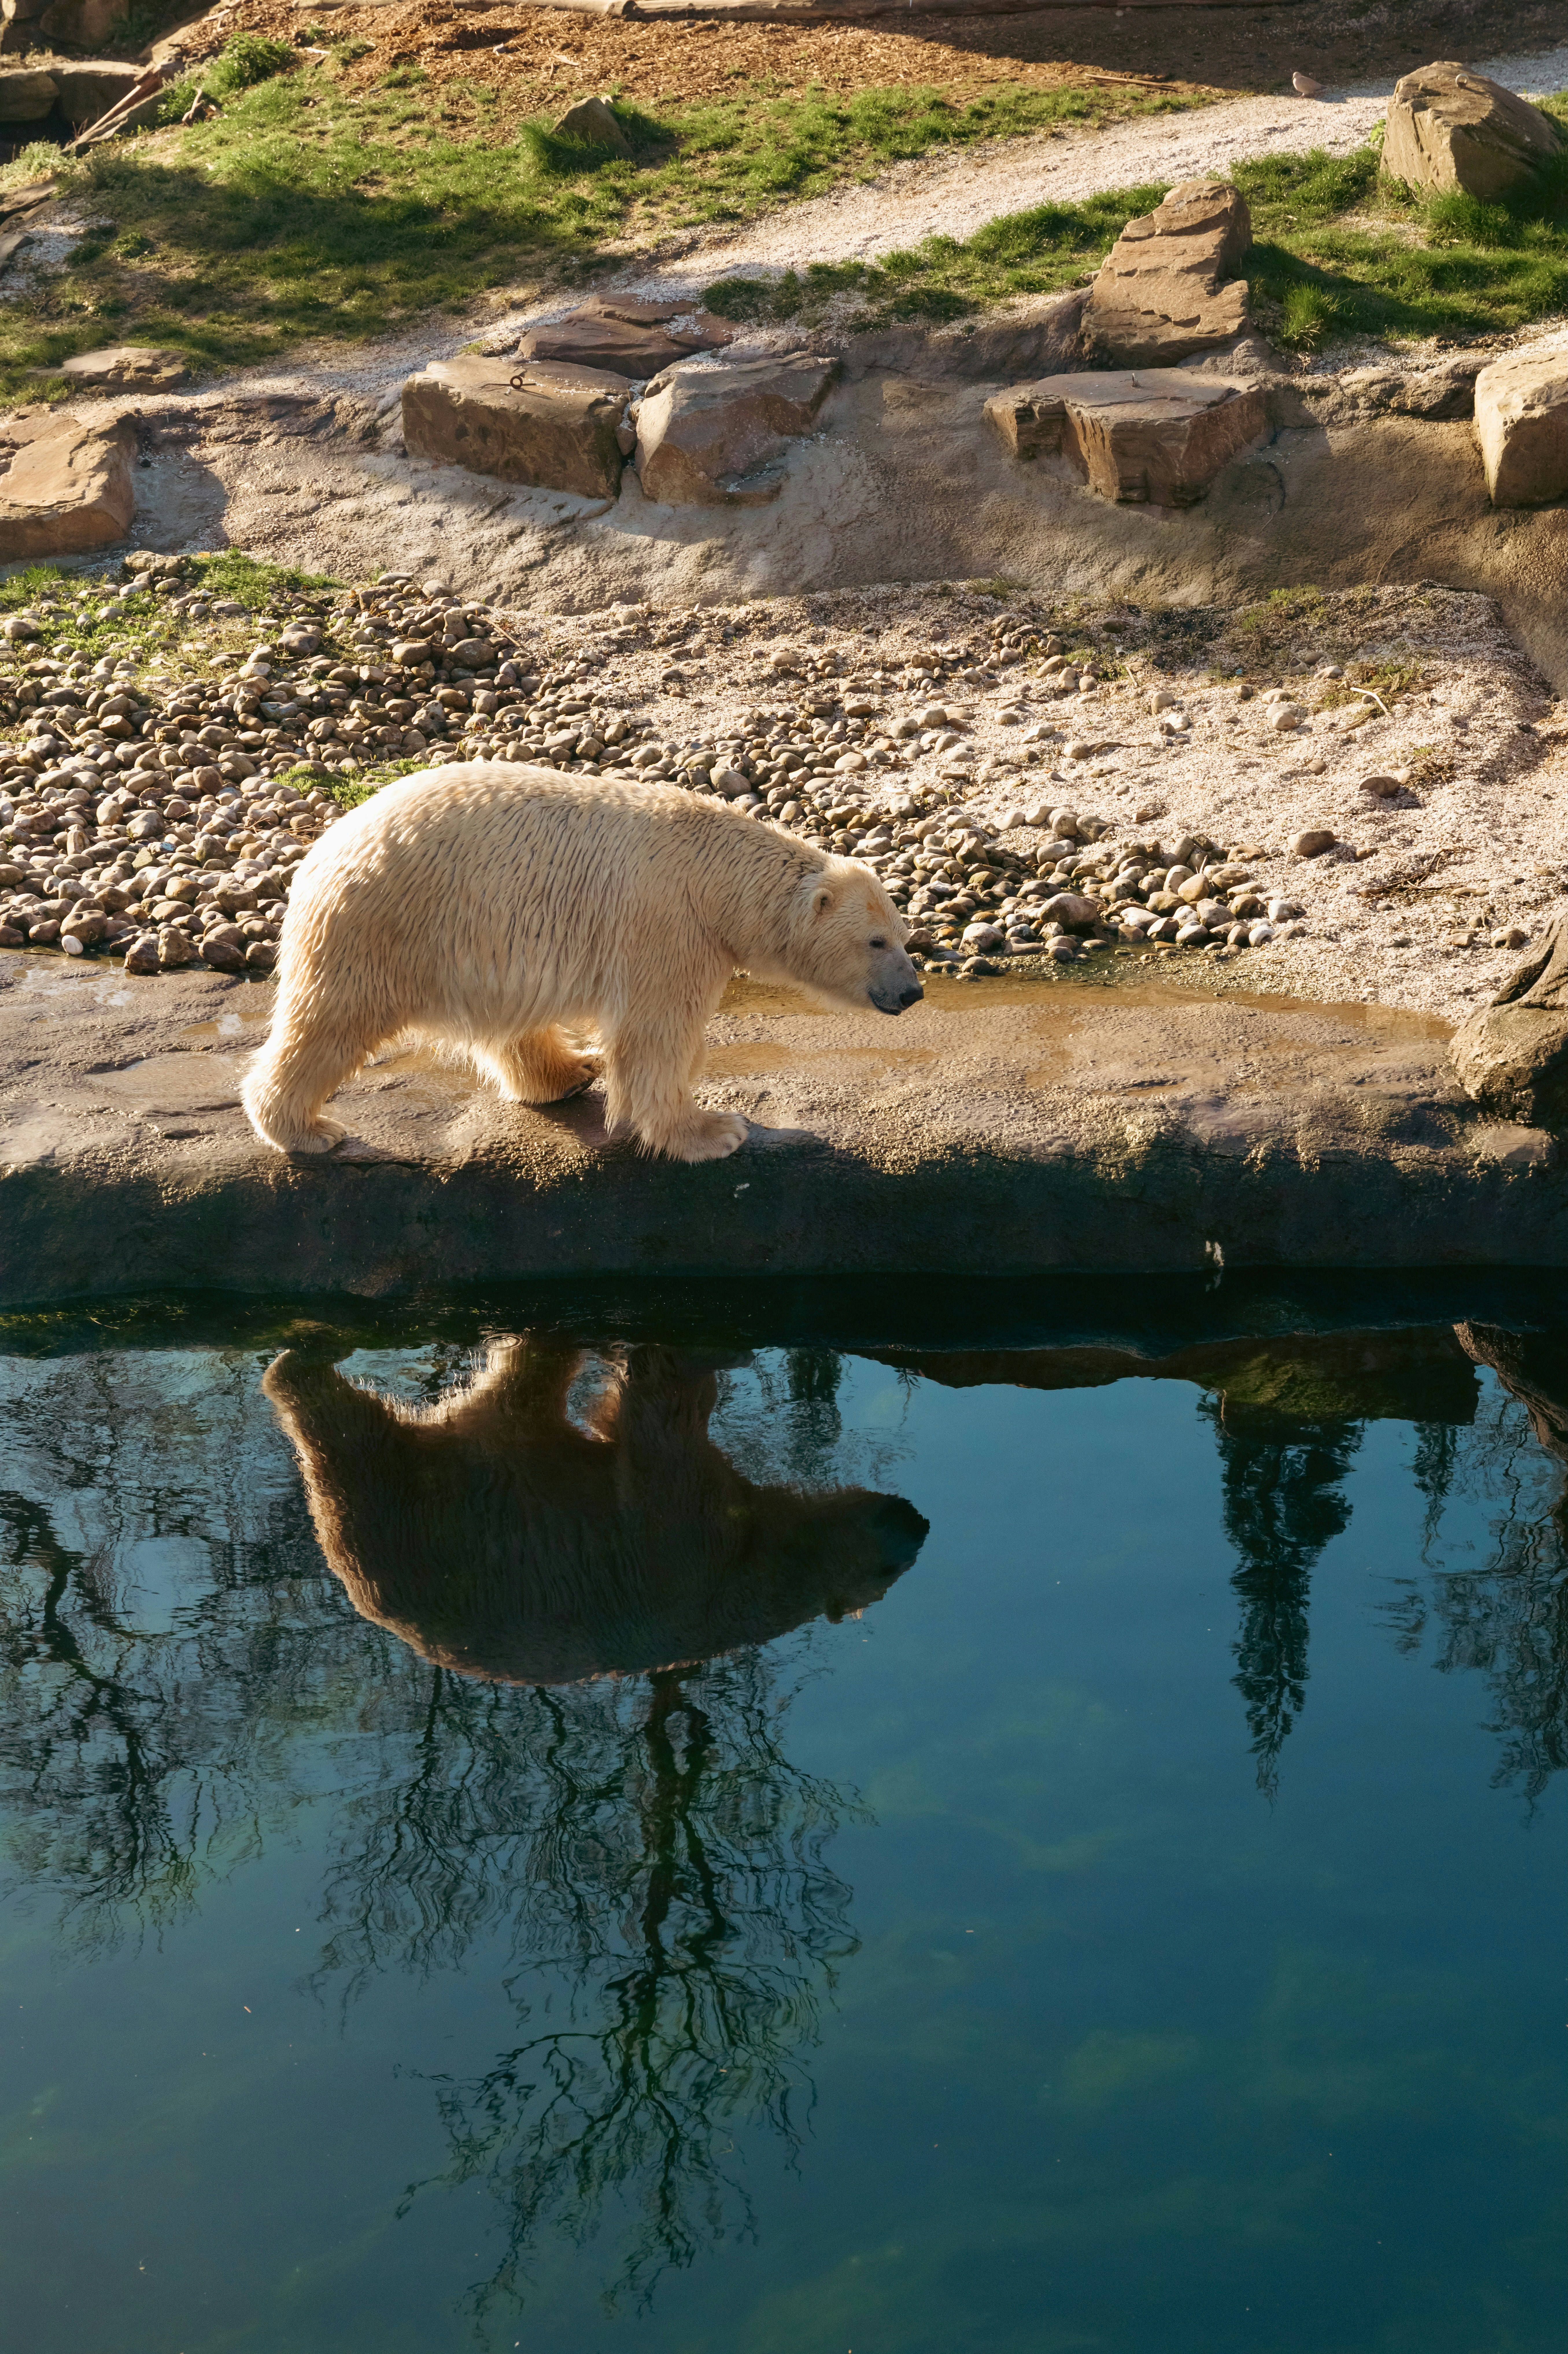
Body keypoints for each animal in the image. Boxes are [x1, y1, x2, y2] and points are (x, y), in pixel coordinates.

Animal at [240, 763, 922, 1163]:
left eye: (903, 933)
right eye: (876, 942)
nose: (912, 993)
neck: (712, 875)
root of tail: (320, 849)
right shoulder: (665, 926)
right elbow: (655, 1035)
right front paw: (713, 1132)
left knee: (507, 1021)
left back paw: (569, 1071)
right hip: (384, 923)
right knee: (330, 1019)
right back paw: (305, 1128)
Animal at [262, 1334, 929, 1684]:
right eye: (888, 1571)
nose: (917, 1522)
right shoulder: (688, 1554)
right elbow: (657, 1434)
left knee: (521, 1392)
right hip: (406, 1514)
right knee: (349, 1432)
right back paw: (302, 1360)